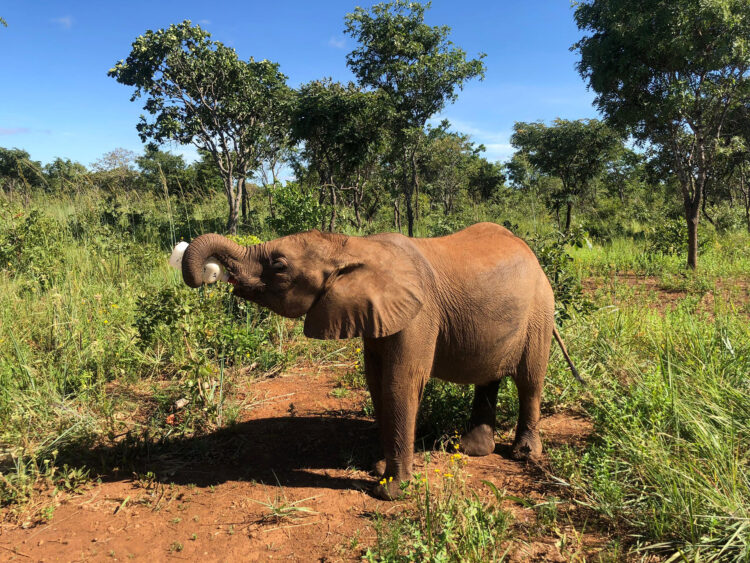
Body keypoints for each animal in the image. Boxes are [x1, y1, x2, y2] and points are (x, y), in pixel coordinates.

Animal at [180, 222, 581, 500]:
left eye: (278, 265)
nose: (208, 274)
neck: (354, 246)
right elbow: (376, 383)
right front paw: (378, 470)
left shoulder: (420, 314)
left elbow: (399, 384)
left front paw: (389, 492)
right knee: (489, 378)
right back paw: (470, 450)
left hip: (540, 310)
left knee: (530, 379)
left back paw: (523, 455)